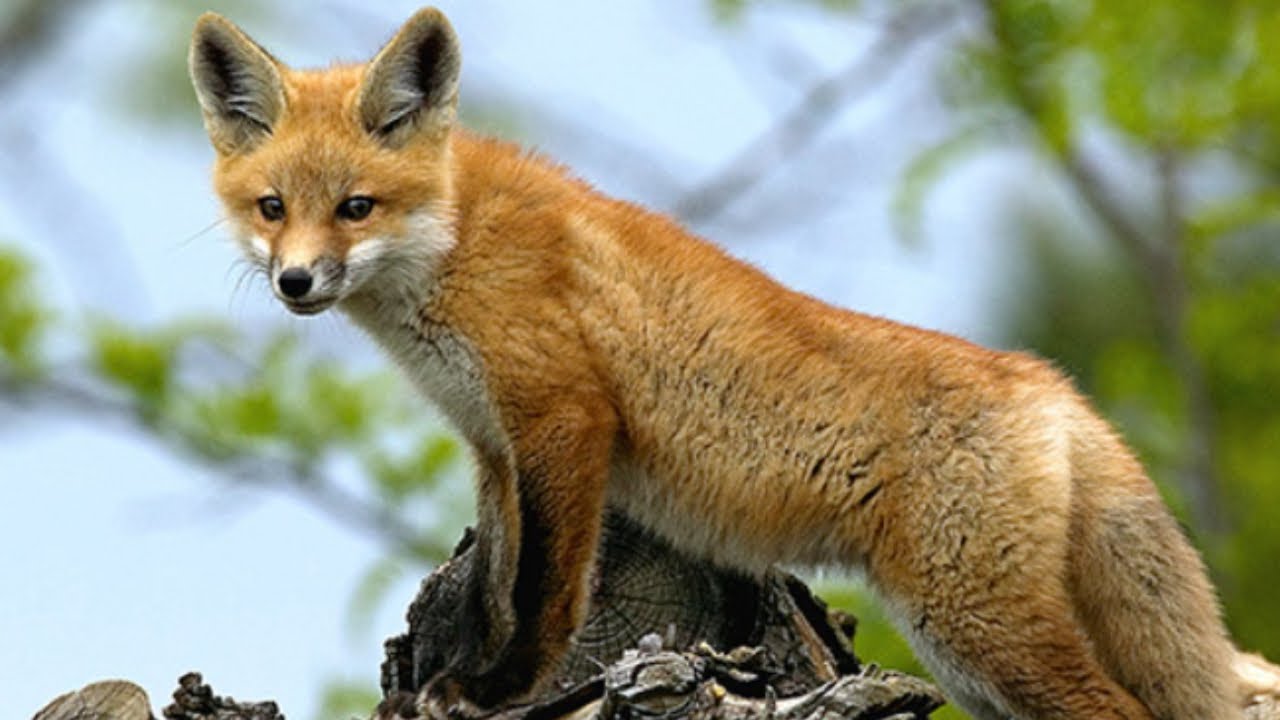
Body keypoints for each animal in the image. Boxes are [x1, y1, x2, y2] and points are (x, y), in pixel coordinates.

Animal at [188, 8, 1278, 720]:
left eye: (356, 207)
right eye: (272, 207)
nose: (295, 283)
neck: (453, 242)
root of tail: (1042, 382)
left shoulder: (563, 417)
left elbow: (543, 595)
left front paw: (502, 691)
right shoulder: (495, 447)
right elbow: (494, 585)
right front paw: (462, 674)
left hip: (973, 623)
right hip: (972, 650)